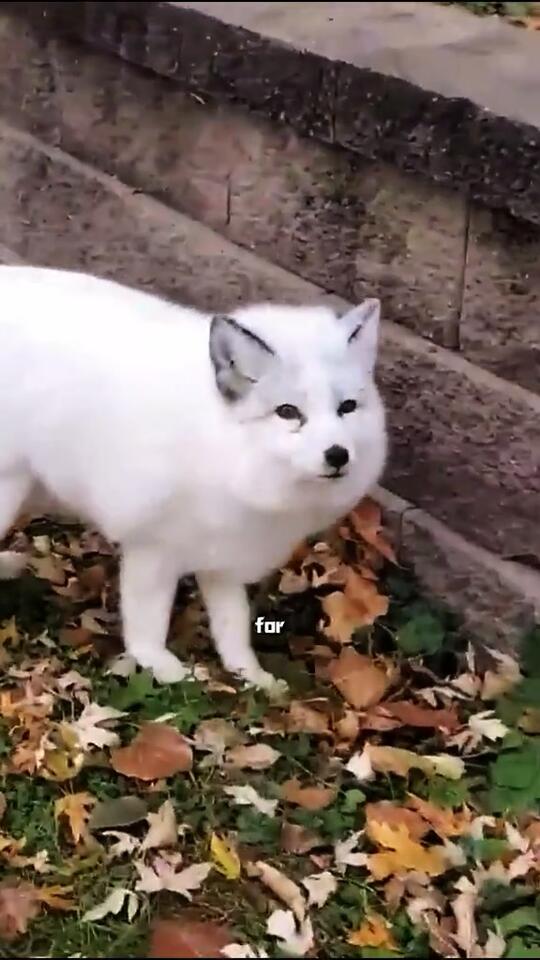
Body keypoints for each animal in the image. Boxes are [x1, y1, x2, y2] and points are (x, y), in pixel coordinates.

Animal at [0, 266, 387, 694]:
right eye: (287, 412)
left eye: (347, 407)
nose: (338, 455)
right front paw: (163, 668)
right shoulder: (151, 547)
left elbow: (233, 626)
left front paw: (251, 676)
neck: (225, 453)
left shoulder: (224, 557)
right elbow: (147, 623)